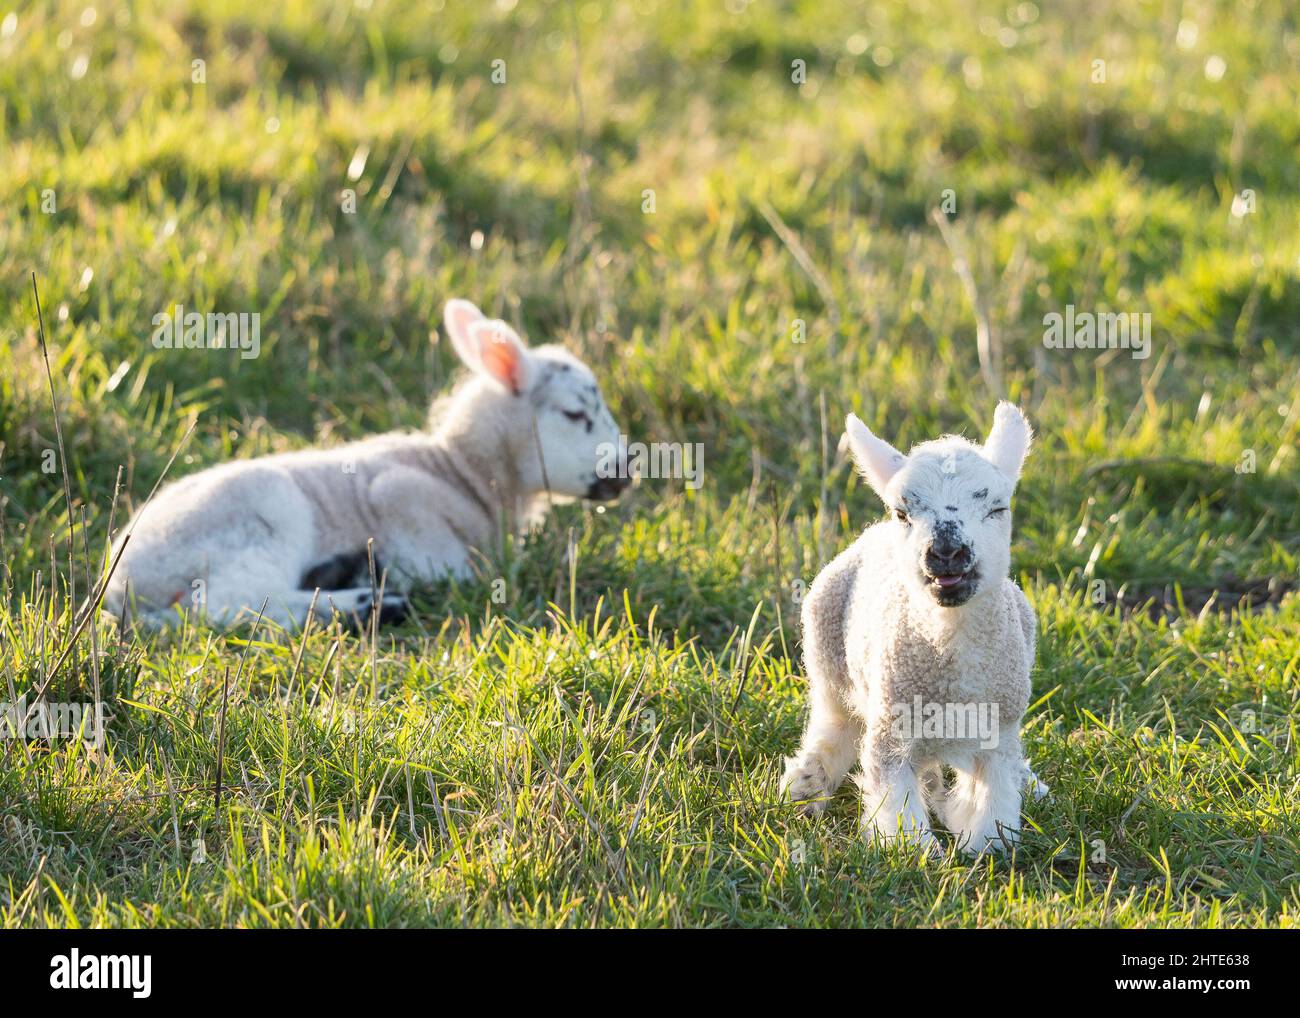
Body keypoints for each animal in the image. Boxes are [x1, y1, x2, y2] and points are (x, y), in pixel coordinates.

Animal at [102, 298, 631, 630]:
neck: (463, 472)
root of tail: (123, 586)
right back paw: (368, 603)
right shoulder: (412, 521)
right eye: (575, 414)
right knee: (224, 604)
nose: (626, 474)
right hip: (267, 517)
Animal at [781, 402, 1047, 854]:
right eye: (903, 512)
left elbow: (994, 802)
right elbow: (898, 807)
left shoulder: (1000, 730)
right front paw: (915, 854)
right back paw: (805, 787)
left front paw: (983, 847)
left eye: (997, 509)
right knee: (833, 724)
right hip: (827, 658)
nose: (946, 552)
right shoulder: (891, 731)